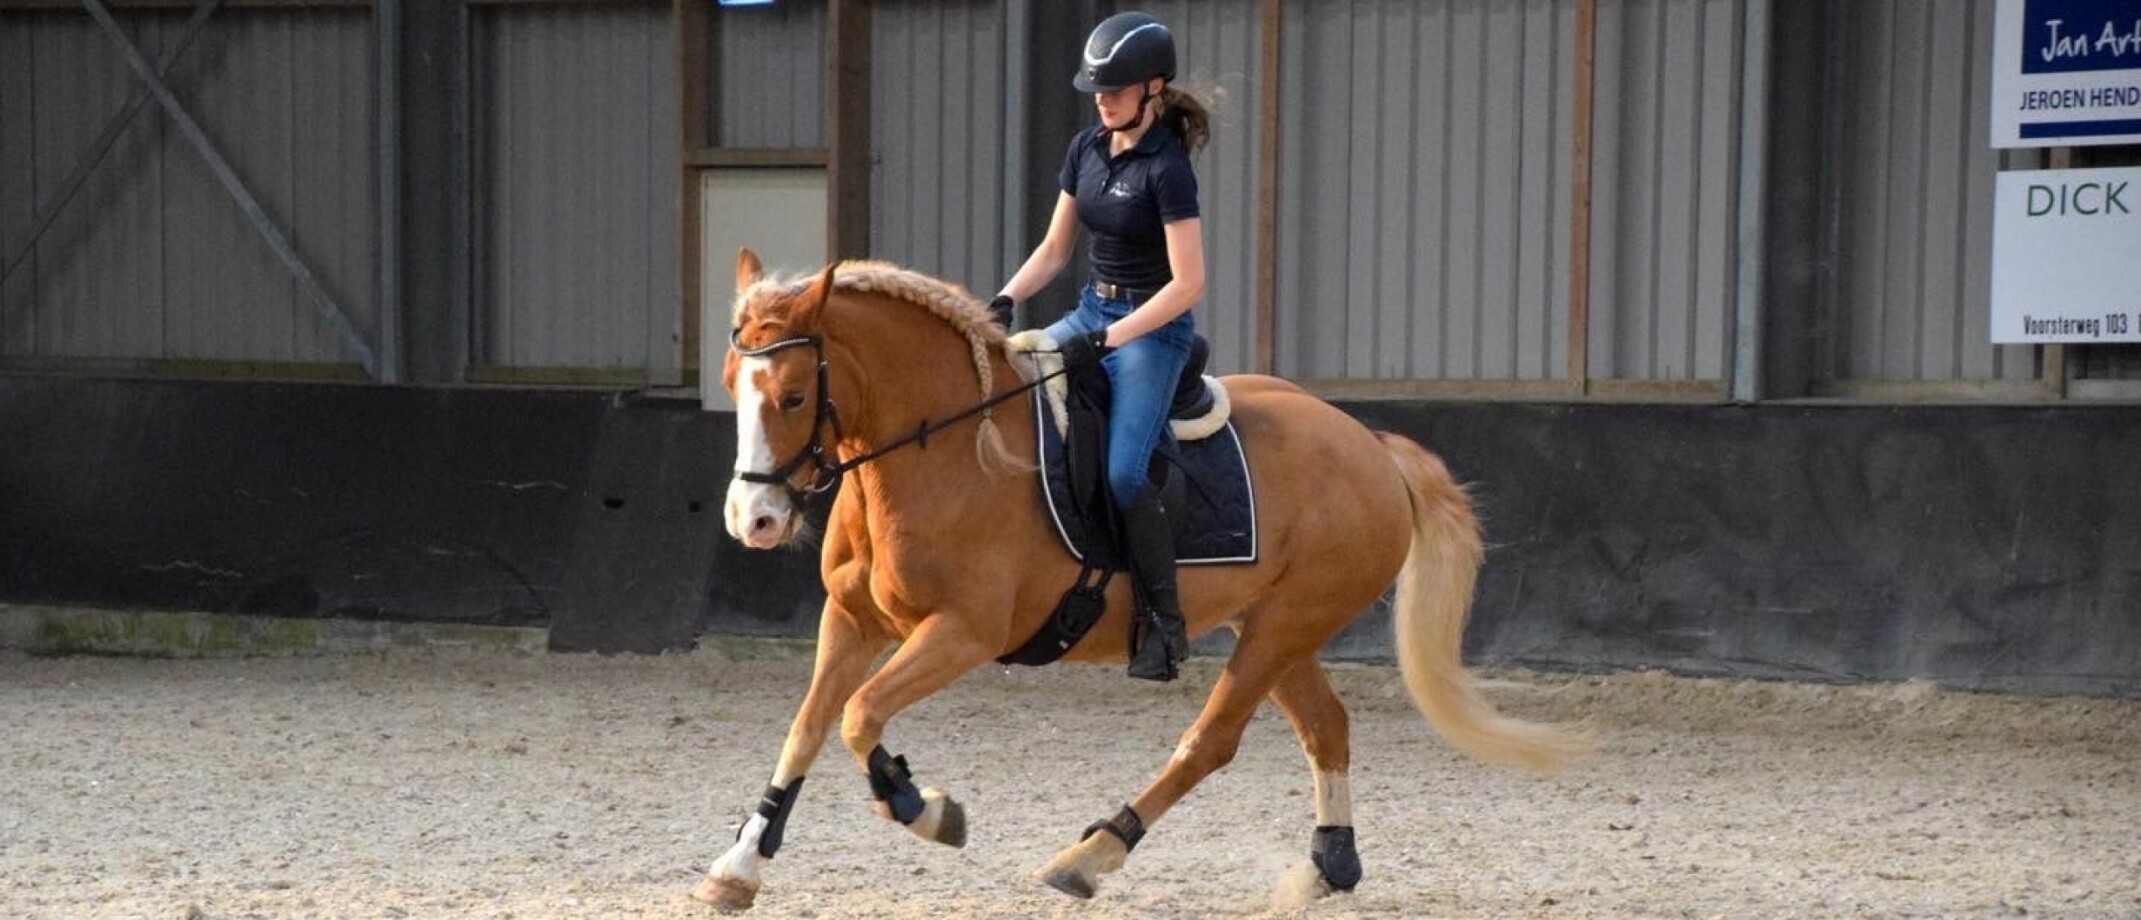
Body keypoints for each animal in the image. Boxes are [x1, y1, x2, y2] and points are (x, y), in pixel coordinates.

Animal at [696, 249, 1586, 909]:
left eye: (794, 395)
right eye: (733, 384)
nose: (753, 519)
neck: (941, 451)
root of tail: (1371, 444)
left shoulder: (963, 633)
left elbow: (858, 715)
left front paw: (926, 809)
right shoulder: (851, 619)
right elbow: (810, 725)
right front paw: (740, 865)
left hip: (1282, 626)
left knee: (1211, 741)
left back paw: (1089, 856)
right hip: (1275, 625)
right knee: (1326, 729)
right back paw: (1327, 867)